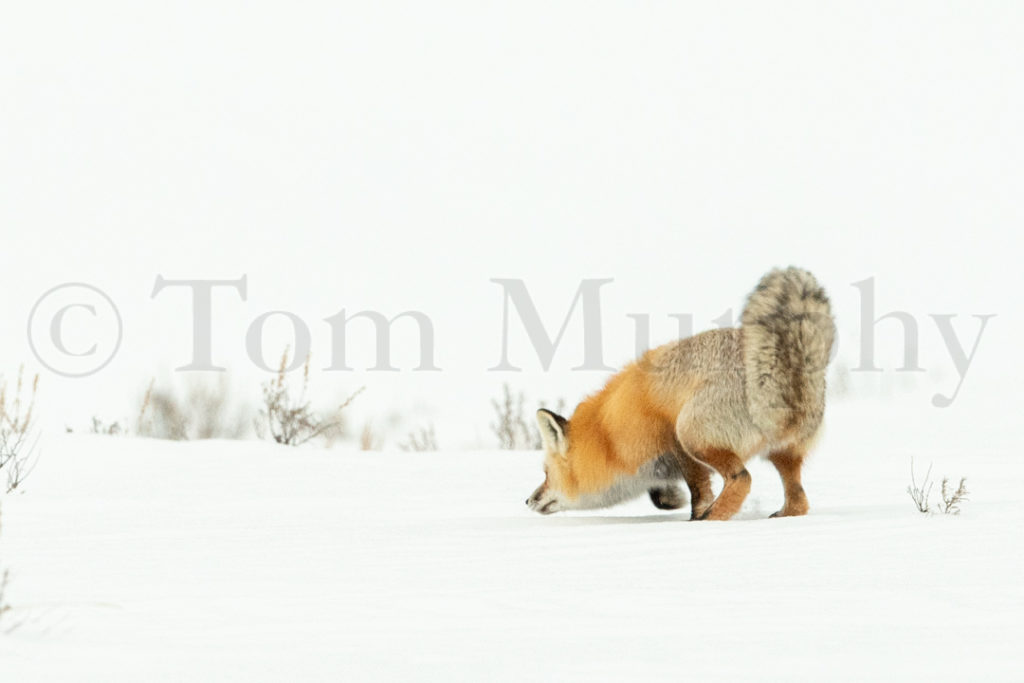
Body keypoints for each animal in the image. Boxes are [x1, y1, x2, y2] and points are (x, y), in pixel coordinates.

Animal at [526, 267, 835, 521]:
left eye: (546, 473)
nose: (528, 500)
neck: (608, 435)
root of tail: (784, 365)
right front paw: (673, 499)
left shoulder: (676, 443)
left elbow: (697, 492)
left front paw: (692, 515)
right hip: (784, 453)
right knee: (798, 501)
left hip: (693, 433)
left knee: (742, 479)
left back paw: (711, 519)